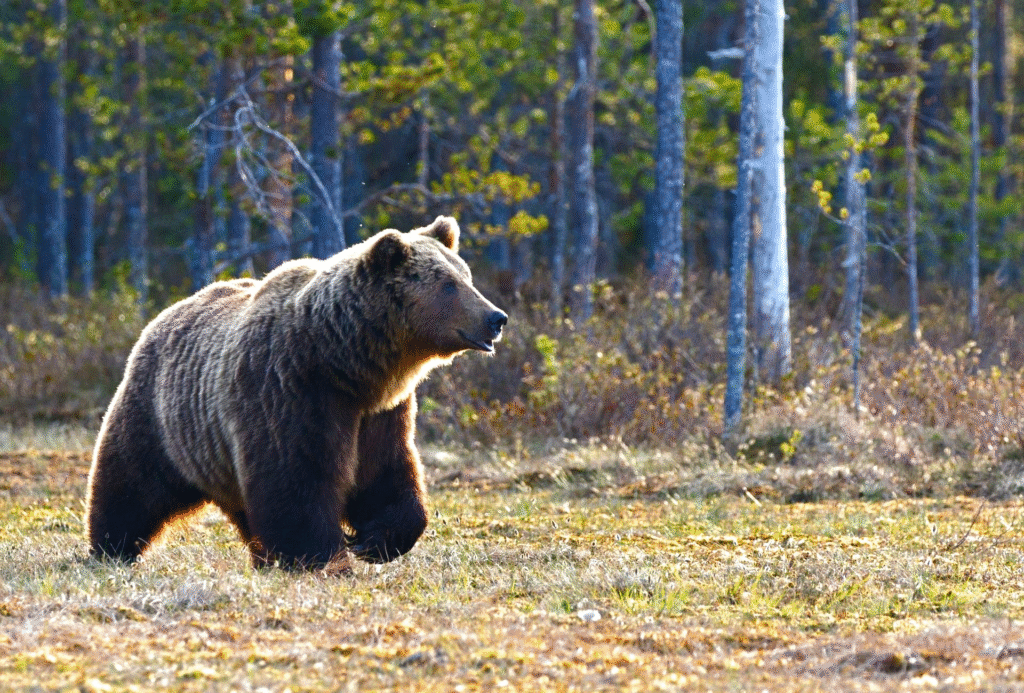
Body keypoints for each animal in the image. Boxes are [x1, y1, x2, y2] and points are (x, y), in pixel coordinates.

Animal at [86, 216, 506, 570]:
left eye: (466, 276)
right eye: (448, 284)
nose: (496, 317)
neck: (345, 362)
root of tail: (165, 314)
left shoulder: (381, 412)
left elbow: (386, 473)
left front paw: (373, 540)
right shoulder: (290, 391)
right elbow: (297, 479)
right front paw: (322, 555)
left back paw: (261, 557)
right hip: (161, 416)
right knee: (130, 483)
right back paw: (110, 548)